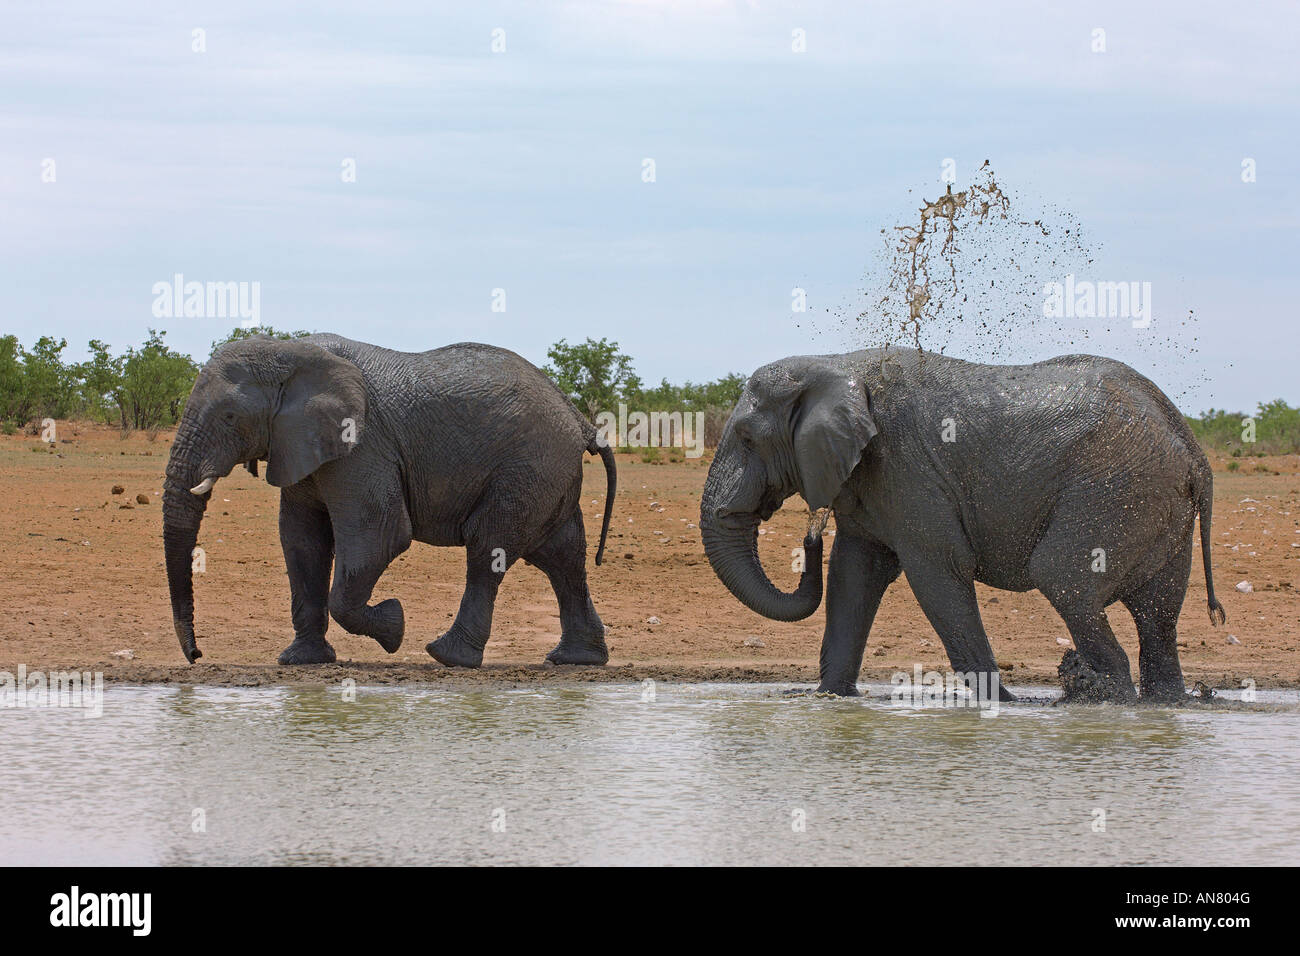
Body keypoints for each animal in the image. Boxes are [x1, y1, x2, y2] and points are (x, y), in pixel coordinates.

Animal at [163, 334, 616, 668]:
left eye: (229, 417)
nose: (196, 656)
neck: (290, 350)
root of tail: (579, 419)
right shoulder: (298, 444)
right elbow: (302, 542)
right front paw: (300, 661)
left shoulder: (362, 446)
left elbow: (380, 538)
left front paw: (395, 627)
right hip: (547, 476)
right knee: (563, 557)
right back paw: (576, 660)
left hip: (528, 468)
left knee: (489, 549)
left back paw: (448, 657)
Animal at [700, 347, 1226, 703]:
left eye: (746, 438)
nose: (810, 531)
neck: (838, 364)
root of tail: (1193, 450)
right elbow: (853, 575)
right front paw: (829, 699)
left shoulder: (907, 469)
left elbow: (938, 574)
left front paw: (1002, 704)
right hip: (1158, 506)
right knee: (1158, 614)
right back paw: (1161, 702)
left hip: (1115, 488)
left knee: (1063, 578)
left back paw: (1103, 699)